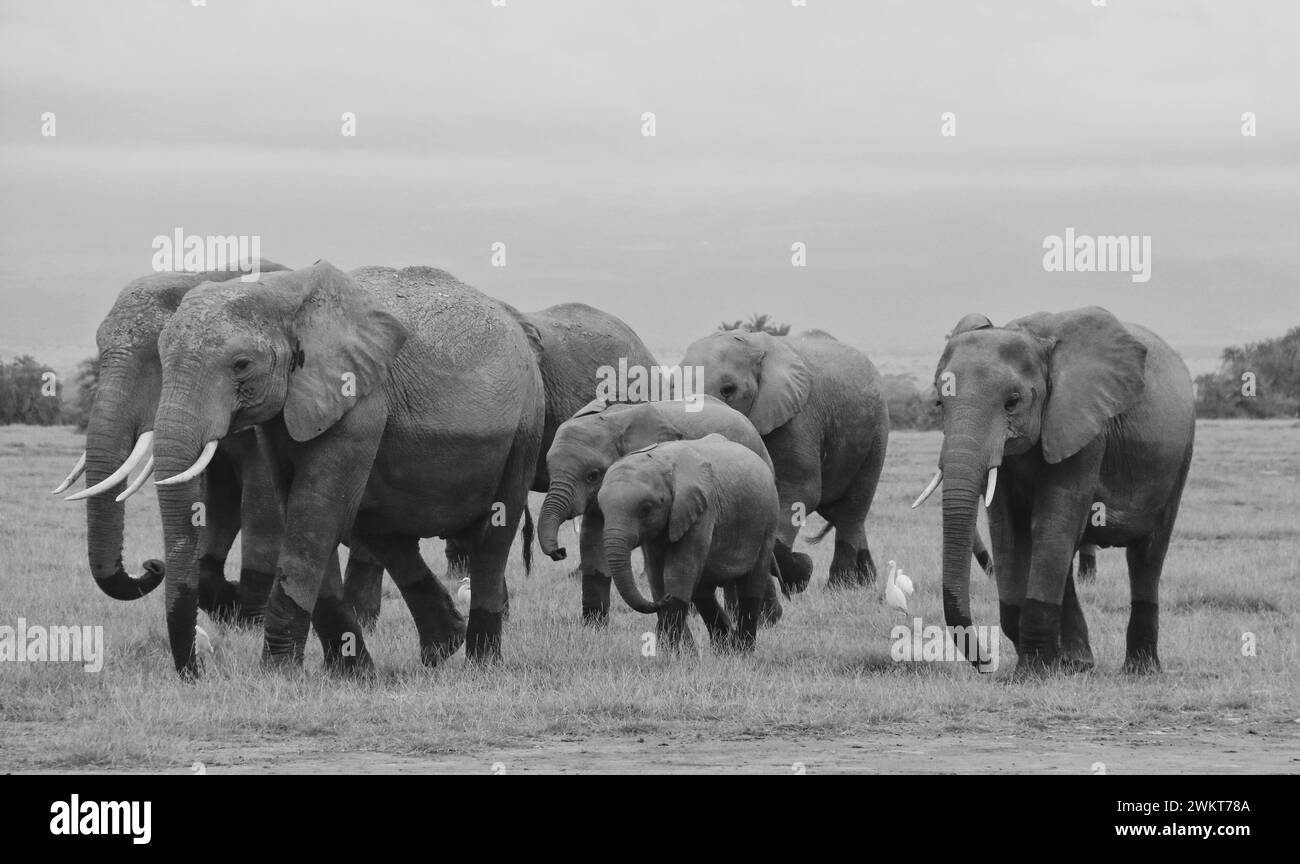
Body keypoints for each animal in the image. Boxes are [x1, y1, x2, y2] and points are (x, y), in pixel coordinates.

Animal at [150, 261, 545, 677]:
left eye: (242, 365)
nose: (195, 673)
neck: (286, 294)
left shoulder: (359, 400)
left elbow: (314, 515)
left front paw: (279, 674)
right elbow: (303, 513)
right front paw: (350, 674)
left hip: (525, 426)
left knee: (493, 535)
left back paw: (481, 663)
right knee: (384, 532)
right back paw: (441, 648)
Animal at [536, 395, 783, 624]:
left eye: (592, 475)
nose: (560, 551)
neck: (612, 422)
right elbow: (592, 541)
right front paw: (594, 627)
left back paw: (769, 620)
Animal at [597, 434, 779, 653]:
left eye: (645, 509)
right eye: (602, 510)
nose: (662, 600)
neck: (661, 463)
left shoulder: (701, 511)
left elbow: (680, 572)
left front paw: (669, 655)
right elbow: (656, 574)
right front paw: (673, 652)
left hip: (767, 521)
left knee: (751, 586)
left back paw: (742, 652)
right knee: (703, 593)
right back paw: (725, 649)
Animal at [678, 329, 889, 592]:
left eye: (728, 390)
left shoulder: (798, 417)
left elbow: (801, 493)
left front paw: (802, 573)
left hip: (877, 433)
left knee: (852, 508)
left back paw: (839, 587)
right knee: (840, 513)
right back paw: (865, 582)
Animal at [919, 306, 1194, 674]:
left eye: (1012, 402)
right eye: (939, 403)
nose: (986, 662)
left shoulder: (1084, 425)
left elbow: (1052, 522)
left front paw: (1031, 673)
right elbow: (1010, 530)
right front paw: (1042, 664)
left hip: (1178, 458)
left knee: (1147, 555)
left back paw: (1140, 671)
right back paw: (1078, 663)